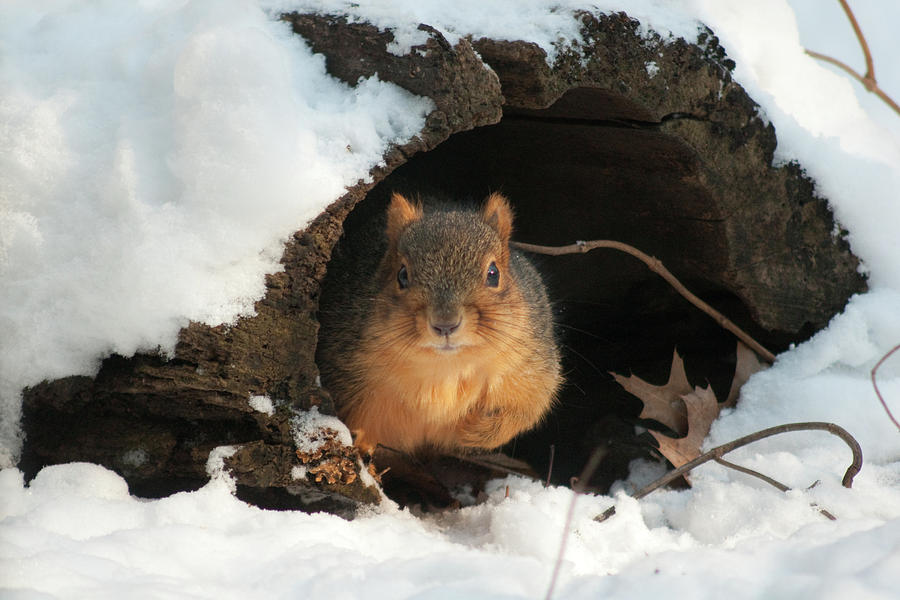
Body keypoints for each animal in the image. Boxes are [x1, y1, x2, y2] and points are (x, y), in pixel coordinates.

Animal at [316, 192, 561, 454]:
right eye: (402, 275)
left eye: (494, 273)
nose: (445, 324)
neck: (447, 366)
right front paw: (361, 444)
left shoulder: (530, 366)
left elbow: (525, 411)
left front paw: (474, 430)